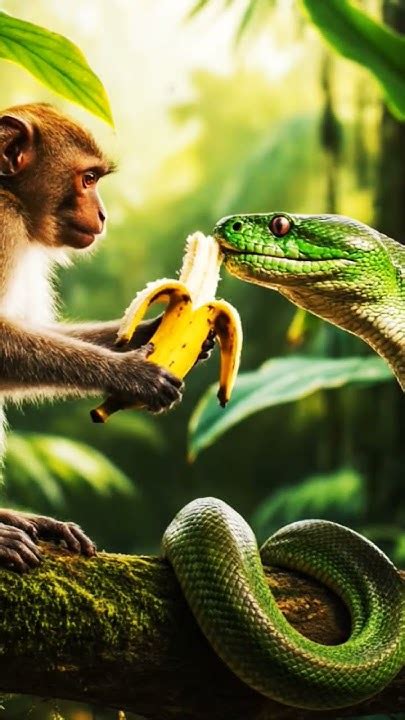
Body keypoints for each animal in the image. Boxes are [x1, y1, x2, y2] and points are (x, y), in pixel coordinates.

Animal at [0, 102, 191, 573]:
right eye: (87, 179)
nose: (104, 216)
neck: (11, 198)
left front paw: (149, 329)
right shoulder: (2, 225)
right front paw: (131, 375)